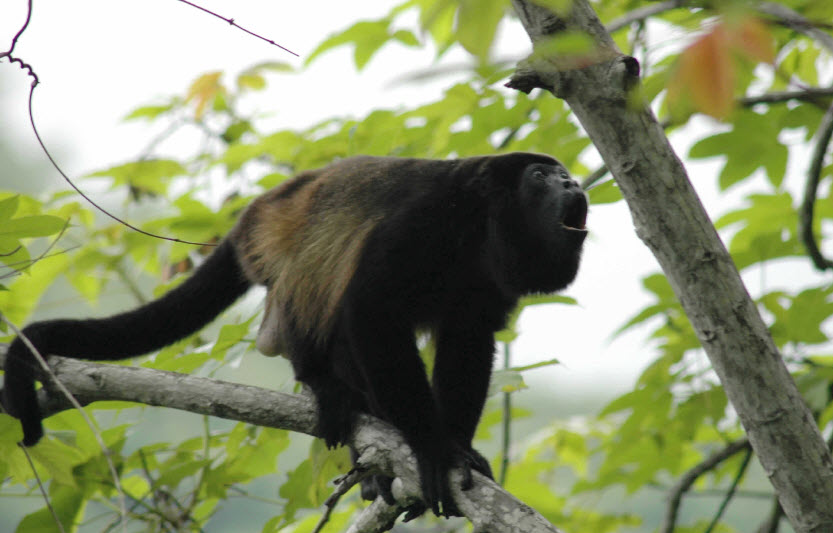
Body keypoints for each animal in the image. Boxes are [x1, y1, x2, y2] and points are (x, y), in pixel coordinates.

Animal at [2, 152, 588, 516]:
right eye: (540, 175)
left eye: (562, 174)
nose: (574, 182)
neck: (483, 225)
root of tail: (251, 216)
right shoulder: (427, 220)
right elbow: (369, 309)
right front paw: (431, 447)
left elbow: (468, 336)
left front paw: (459, 448)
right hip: (275, 254)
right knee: (320, 298)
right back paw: (325, 385)